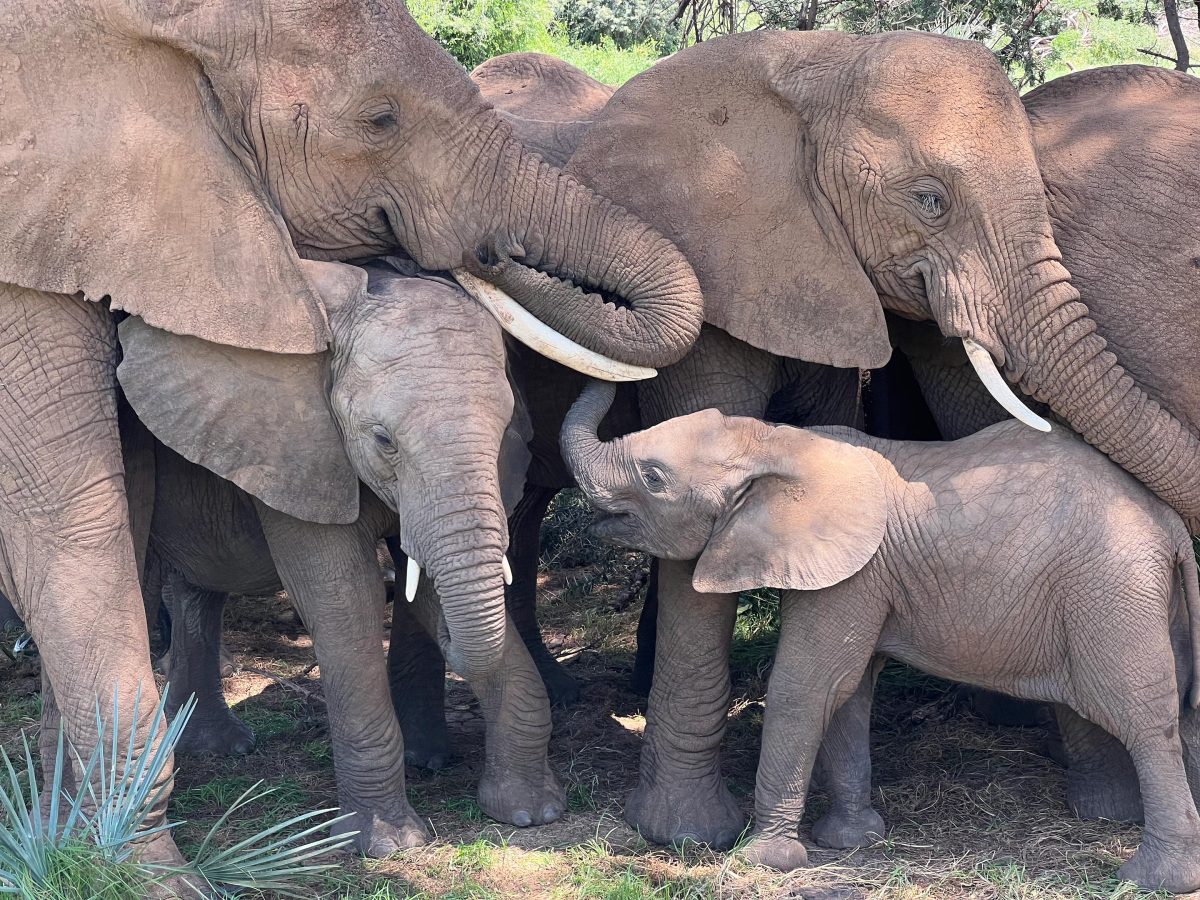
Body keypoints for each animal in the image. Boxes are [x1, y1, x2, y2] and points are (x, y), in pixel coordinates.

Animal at [0, 0, 702, 863]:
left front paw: (530, 814)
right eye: (379, 119)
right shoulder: (298, 449)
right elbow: (337, 594)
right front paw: (391, 845)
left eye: (510, 429)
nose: (491, 254)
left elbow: (433, 575)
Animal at [561, 379, 1200, 893]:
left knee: (1145, 721)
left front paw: (766, 858)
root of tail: (1169, 524)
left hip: (1112, 590)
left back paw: (1154, 878)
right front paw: (852, 840)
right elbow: (849, 692)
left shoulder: (852, 574)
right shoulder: (859, 577)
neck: (777, 444)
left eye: (653, 478)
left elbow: (807, 688)